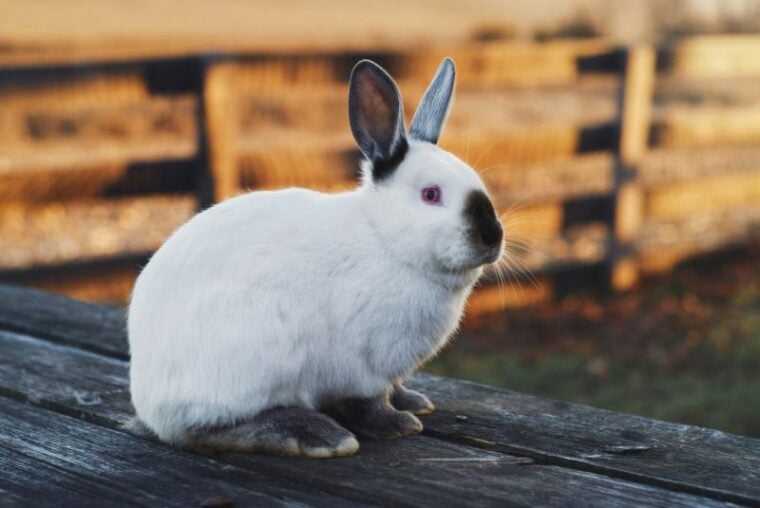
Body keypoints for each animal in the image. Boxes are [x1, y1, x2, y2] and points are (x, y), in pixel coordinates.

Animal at [127, 57, 504, 458]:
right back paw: (313, 435)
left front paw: (414, 401)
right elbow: (369, 402)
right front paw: (398, 424)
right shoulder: (363, 366)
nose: (492, 237)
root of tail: (148, 401)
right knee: (202, 430)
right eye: (431, 195)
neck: (384, 239)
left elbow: (393, 389)